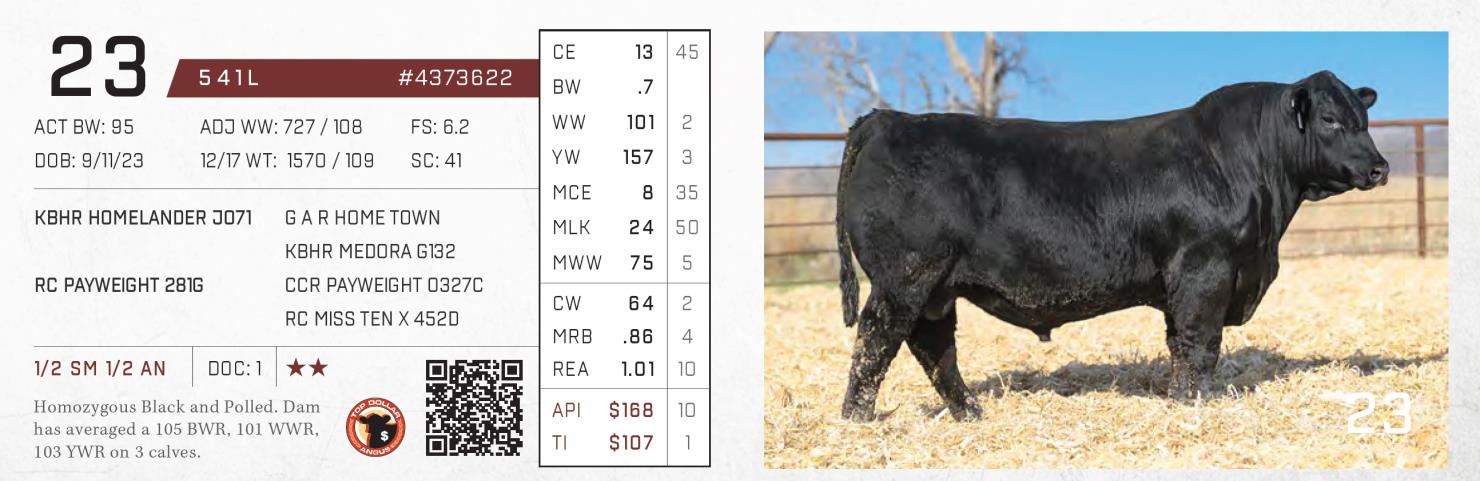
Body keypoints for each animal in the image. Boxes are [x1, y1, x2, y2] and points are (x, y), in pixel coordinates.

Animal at [834, 71, 1388, 421]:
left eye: (1363, 118)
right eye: (1330, 120)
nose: (1379, 168)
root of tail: (891, 118)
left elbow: (1178, 344)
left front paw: (1179, 399)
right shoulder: (1205, 269)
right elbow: (1200, 344)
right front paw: (1194, 404)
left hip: (935, 288)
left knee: (933, 347)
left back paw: (968, 412)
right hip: (906, 277)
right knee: (876, 340)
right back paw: (857, 419)